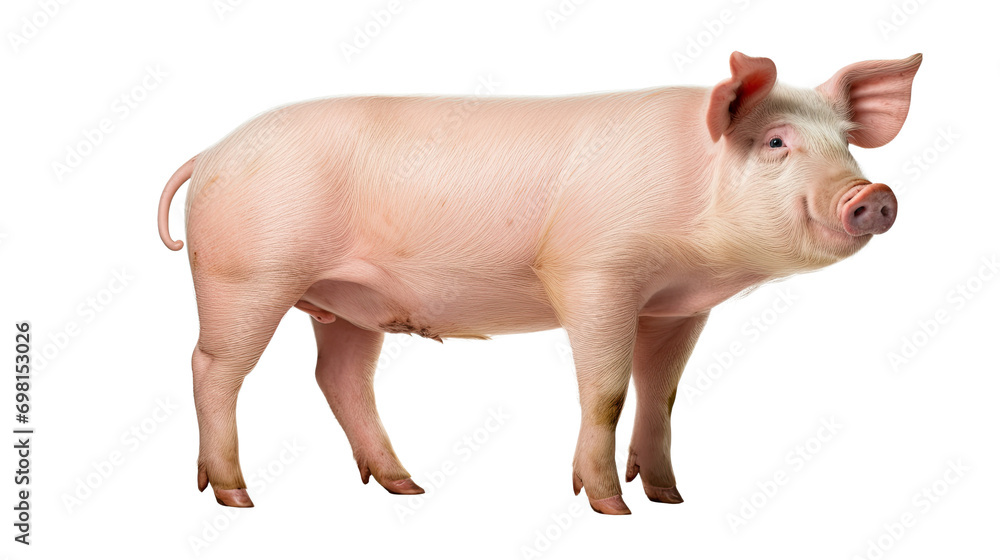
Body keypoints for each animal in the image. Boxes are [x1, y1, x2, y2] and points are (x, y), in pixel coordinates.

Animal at [158, 52, 921, 513]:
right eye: (776, 142)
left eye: (845, 143)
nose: (874, 195)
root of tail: (210, 151)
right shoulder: (592, 270)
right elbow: (608, 390)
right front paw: (610, 506)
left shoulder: (678, 305)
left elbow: (662, 393)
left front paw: (671, 499)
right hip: (244, 273)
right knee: (212, 367)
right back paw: (236, 497)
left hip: (346, 304)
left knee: (339, 378)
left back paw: (409, 489)